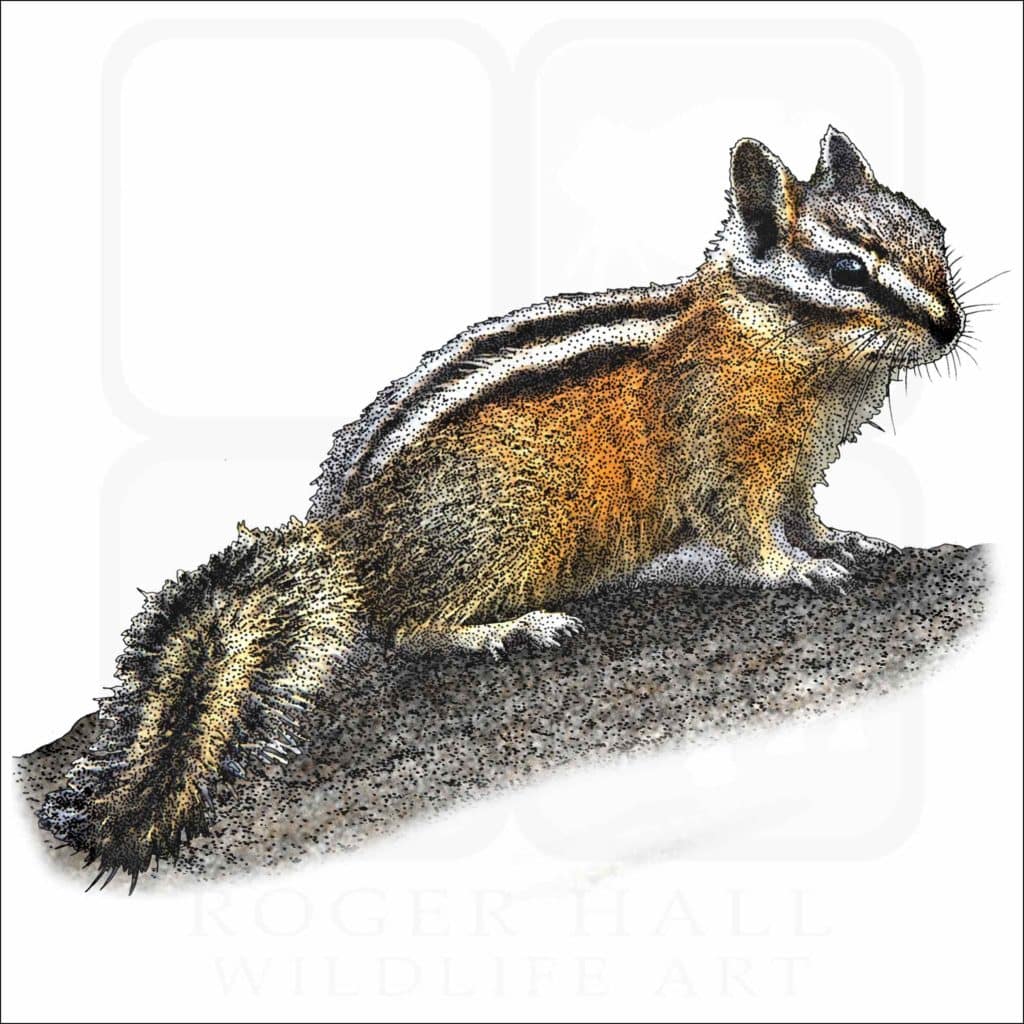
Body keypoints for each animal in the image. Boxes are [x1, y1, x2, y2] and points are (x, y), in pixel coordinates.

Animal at [37, 127, 966, 890]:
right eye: (847, 271)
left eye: (935, 235)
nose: (951, 327)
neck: (776, 335)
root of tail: (345, 541)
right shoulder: (722, 455)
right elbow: (745, 530)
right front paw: (794, 570)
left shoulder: (798, 469)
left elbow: (805, 512)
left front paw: (841, 540)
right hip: (497, 537)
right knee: (406, 629)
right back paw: (502, 628)